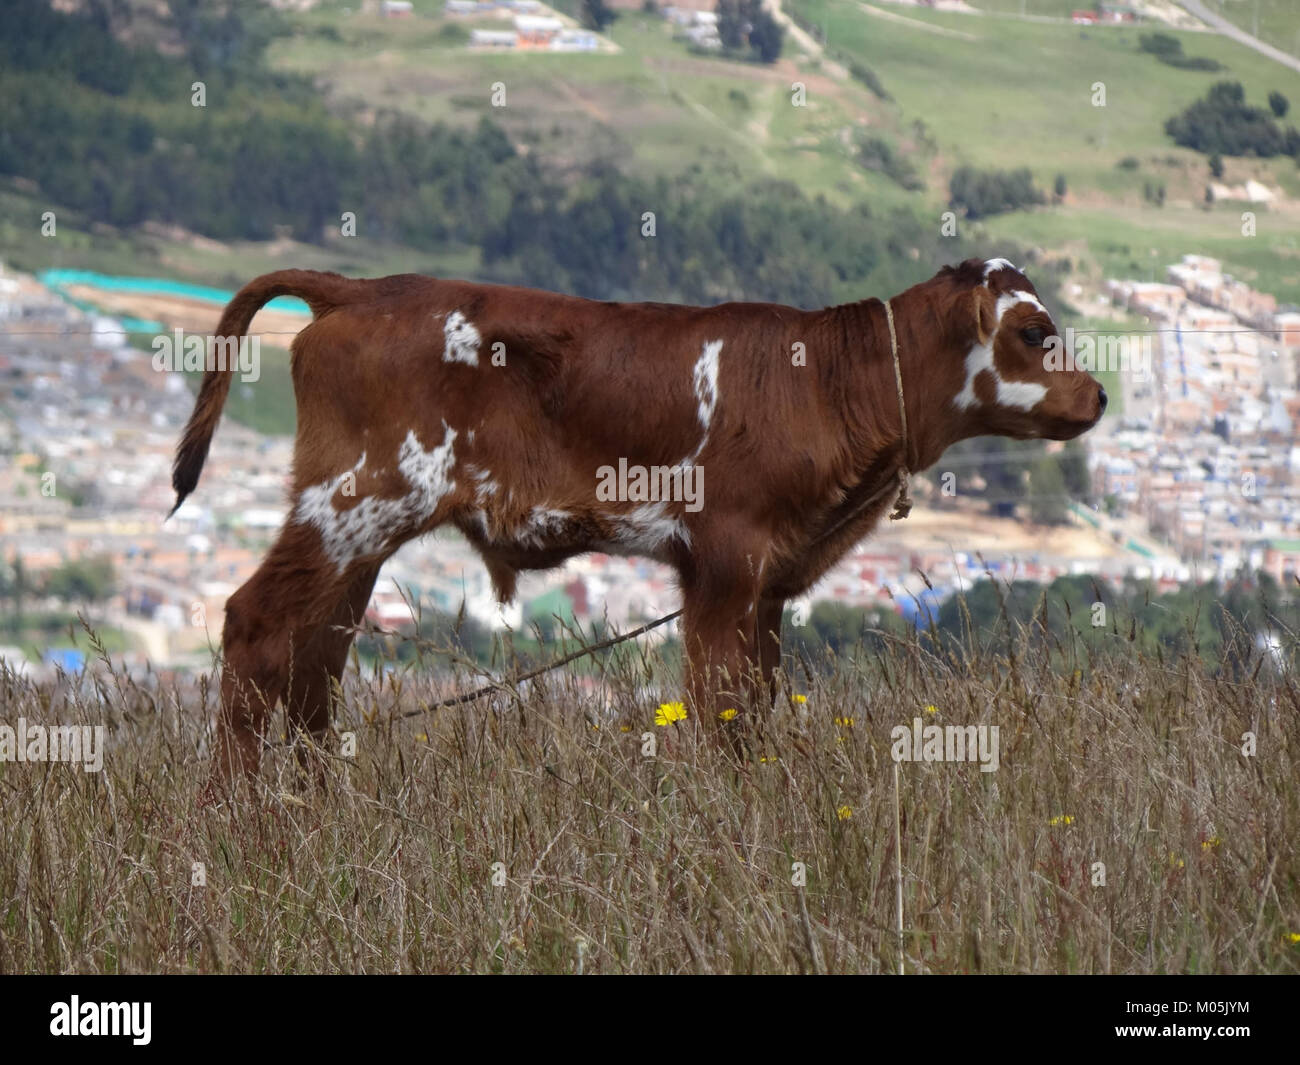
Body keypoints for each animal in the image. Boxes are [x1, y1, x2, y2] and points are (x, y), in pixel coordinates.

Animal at [170, 257, 1105, 787]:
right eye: (1035, 329)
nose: (1098, 393)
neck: (826, 380)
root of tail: (359, 290)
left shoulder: (769, 583)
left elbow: (755, 700)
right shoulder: (725, 561)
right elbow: (720, 702)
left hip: (356, 529)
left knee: (315, 655)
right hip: (357, 503)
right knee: (258, 625)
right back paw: (237, 810)